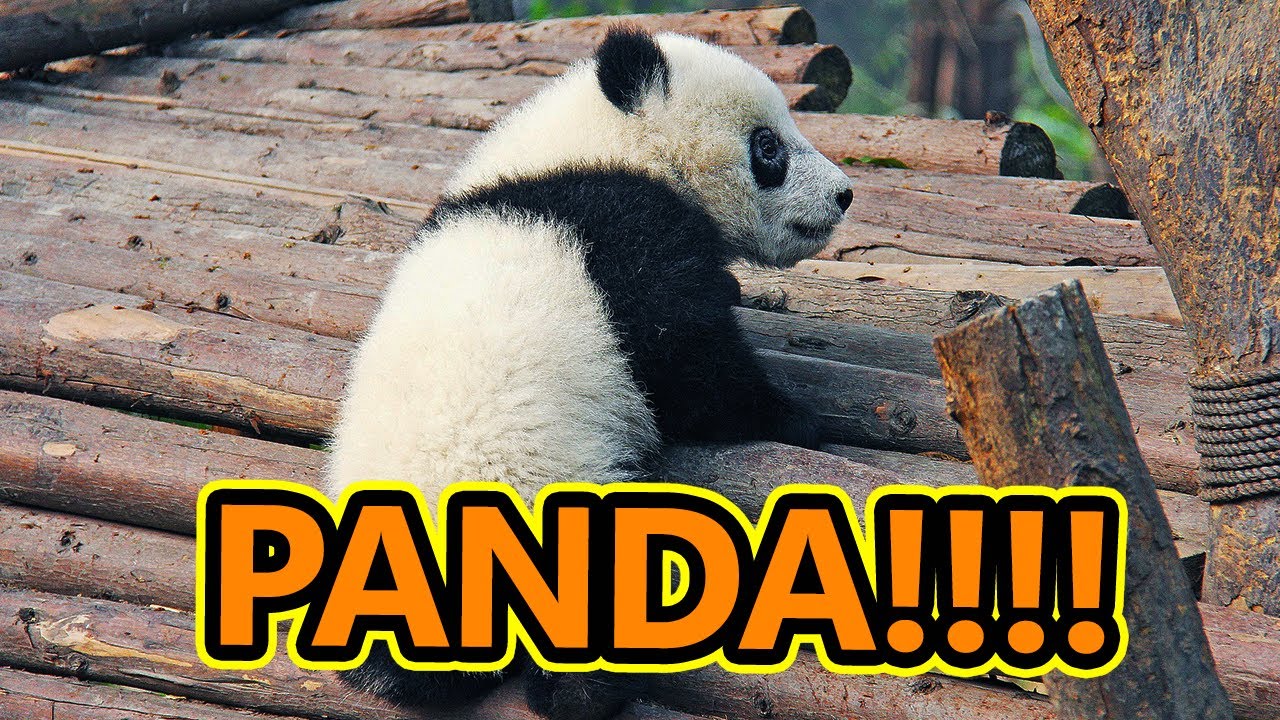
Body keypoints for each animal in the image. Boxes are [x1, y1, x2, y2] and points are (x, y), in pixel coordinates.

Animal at [326, 27, 854, 720]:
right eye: (768, 147)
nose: (844, 195)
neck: (600, 145)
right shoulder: (626, 234)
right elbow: (691, 367)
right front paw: (795, 416)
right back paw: (587, 691)